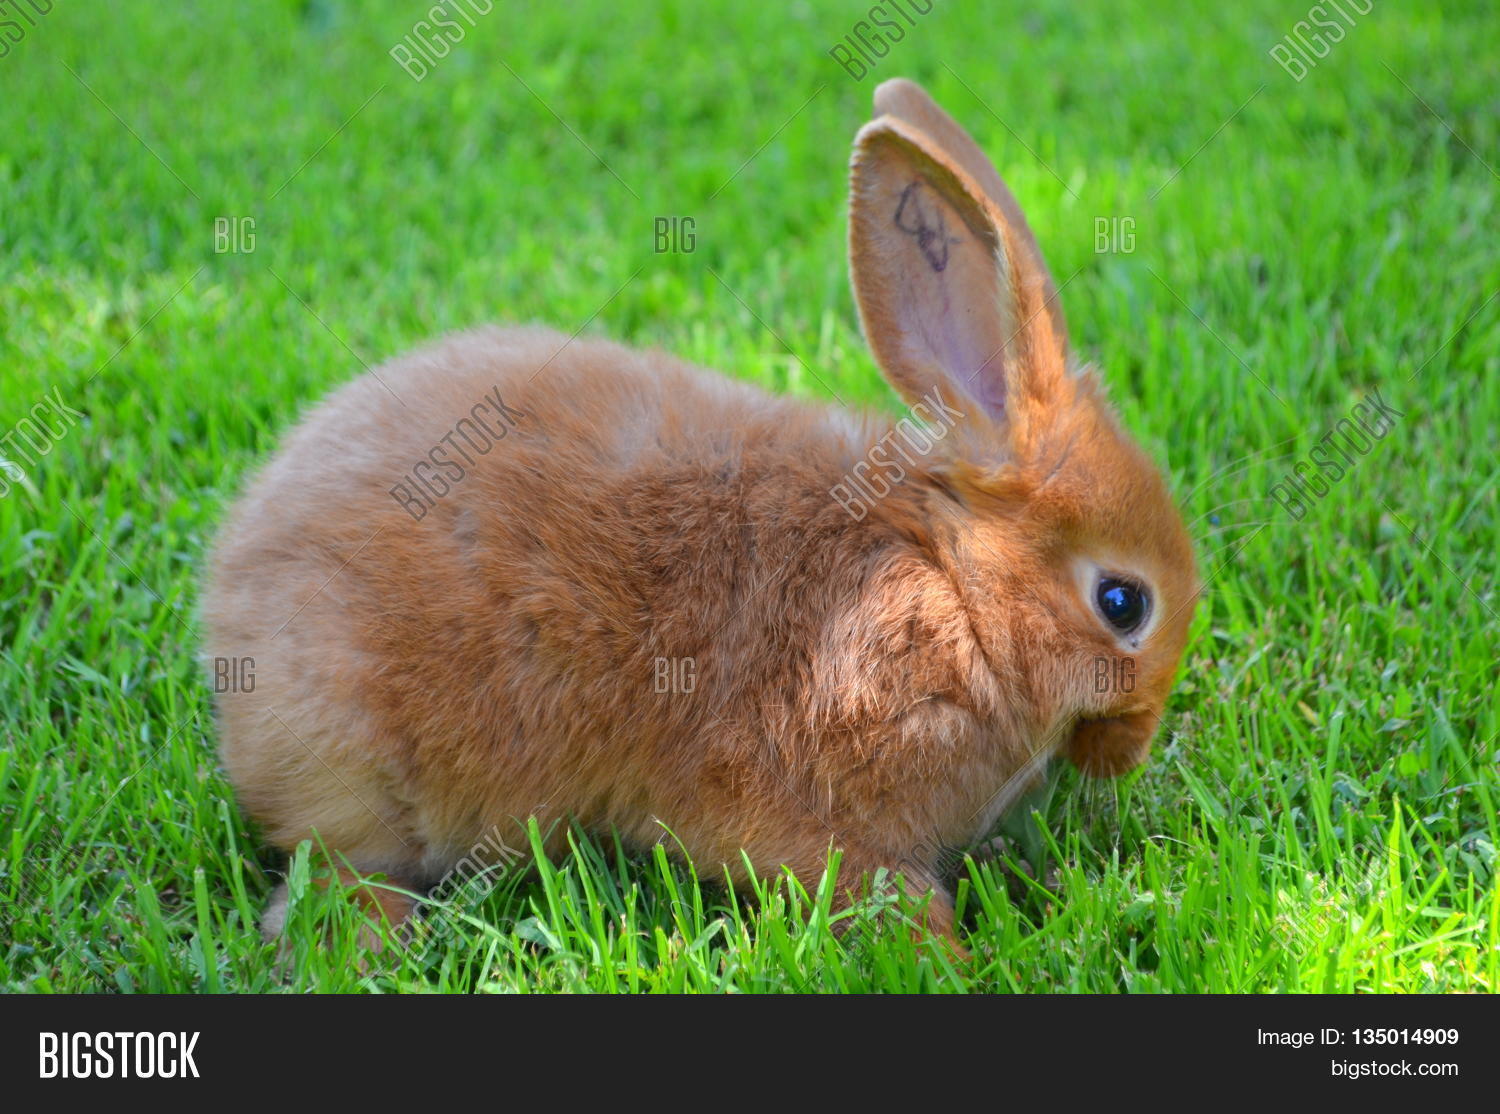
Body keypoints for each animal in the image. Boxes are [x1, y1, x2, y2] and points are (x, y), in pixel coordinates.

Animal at [202, 77, 1198, 949]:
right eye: (1123, 604)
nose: (1133, 746)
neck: (952, 578)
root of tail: (228, 600)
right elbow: (871, 886)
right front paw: (944, 956)